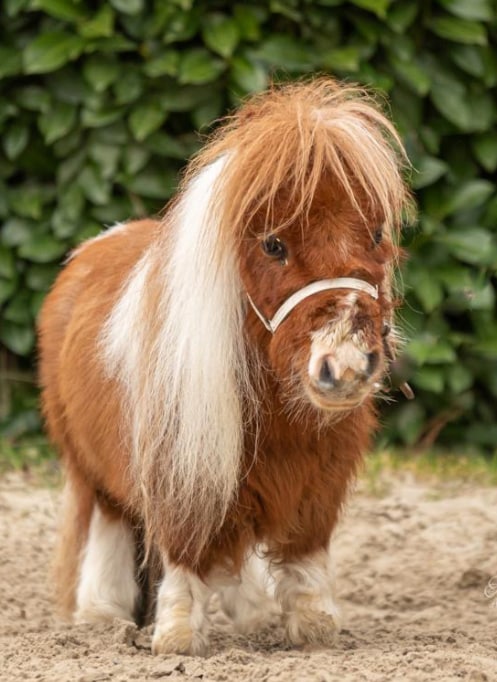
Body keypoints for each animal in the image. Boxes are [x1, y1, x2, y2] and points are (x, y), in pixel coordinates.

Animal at [38, 77, 411, 655]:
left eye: (374, 235)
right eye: (273, 244)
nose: (345, 366)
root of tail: (91, 250)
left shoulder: (319, 475)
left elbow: (303, 554)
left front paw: (313, 627)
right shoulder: (181, 467)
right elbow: (184, 551)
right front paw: (176, 636)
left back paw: (251, 615)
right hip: (88, 466)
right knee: (111, 524)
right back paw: (102, 614)